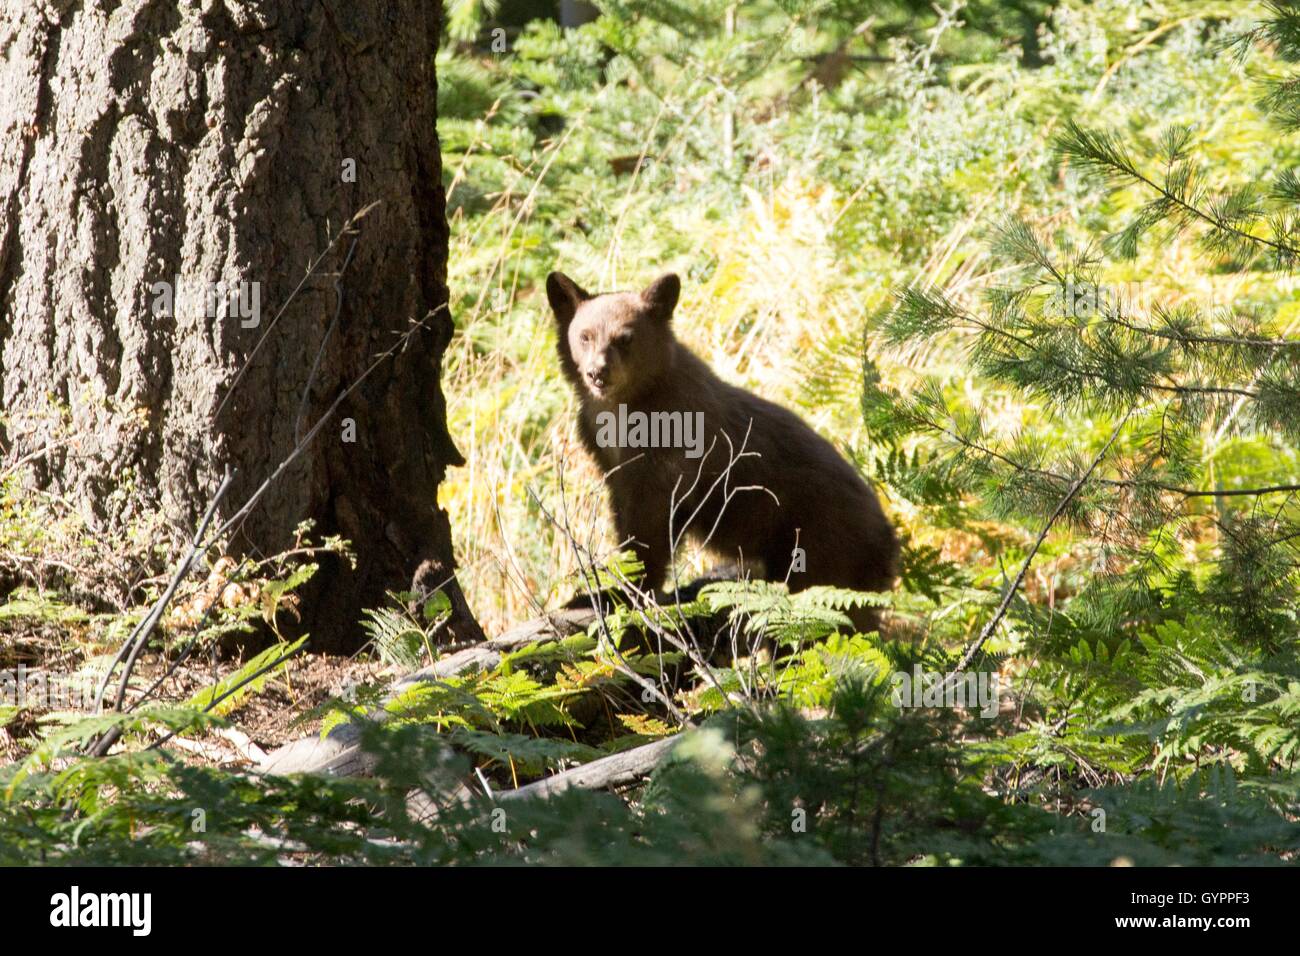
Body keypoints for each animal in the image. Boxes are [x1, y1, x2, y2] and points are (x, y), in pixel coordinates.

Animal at [546, 270, 899, 632]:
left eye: (625, 338)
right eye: (585, 336)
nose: (597, 373)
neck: (627, 406)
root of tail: (889, 540)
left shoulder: (668, 458)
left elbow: (651, 528)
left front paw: (620, 594)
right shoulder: (611, 462)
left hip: (823, 551)